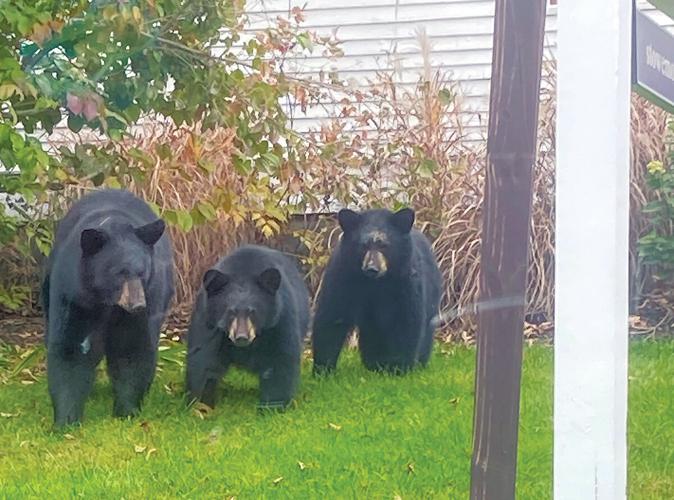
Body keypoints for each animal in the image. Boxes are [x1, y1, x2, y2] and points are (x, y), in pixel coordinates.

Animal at [42, 189, 174, 427]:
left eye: (142, 272)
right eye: (119, 273)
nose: (138, 304)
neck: (107, 302)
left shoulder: (150, 295)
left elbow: (132, 347)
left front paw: (127, 411)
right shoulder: (75, 293)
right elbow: (71, 346)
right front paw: (66, 420)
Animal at [185, 245, 310, 411]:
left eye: (252, 312)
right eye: (231, 312)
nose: (242, 337)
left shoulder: (279, 320)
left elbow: (280, 358)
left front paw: (273, 406)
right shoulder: (208, 320)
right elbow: (203, 358)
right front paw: (200, 404)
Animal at [311, 207, 442, 375]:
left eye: (384, 245)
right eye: (363, 245)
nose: (372, 268)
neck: (376, 283)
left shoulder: (406, 281)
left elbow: (406, 320)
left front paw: (399, 368)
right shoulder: (342, 275)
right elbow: (332, 316)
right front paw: (323, 370)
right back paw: (374, 364)